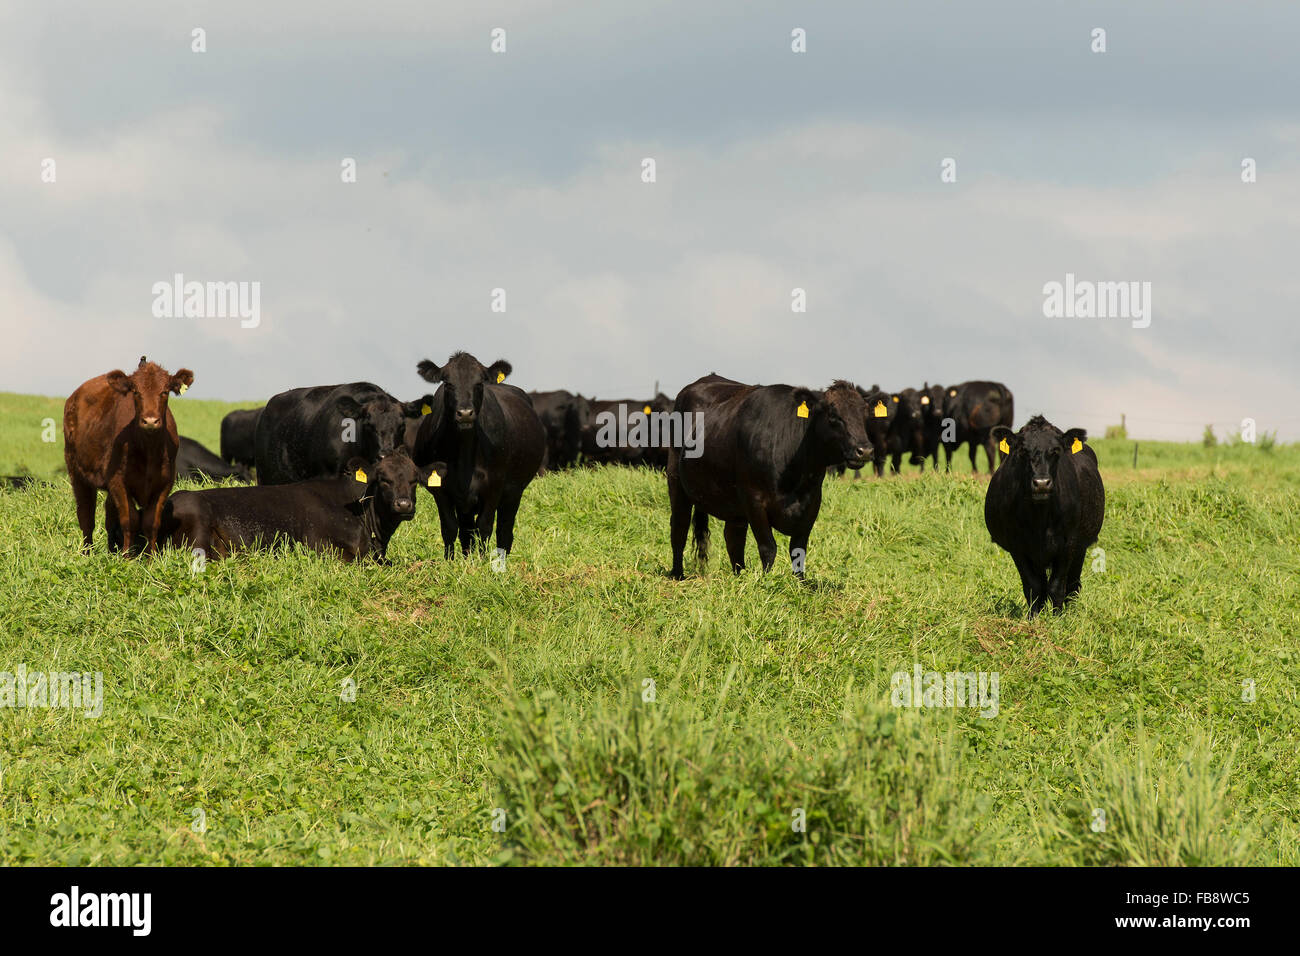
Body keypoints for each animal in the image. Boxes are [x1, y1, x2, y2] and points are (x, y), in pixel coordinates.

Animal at [63, 356, 194, 554]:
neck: (149, 451)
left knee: (109, 515)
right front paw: (127, 556)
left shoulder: (165, 482)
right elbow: (129, 520)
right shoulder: (118, 481)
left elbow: (151, 522)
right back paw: (87, 553)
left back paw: (111, 550)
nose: (150, 420)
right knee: (86, 515)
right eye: (136, 392)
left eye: (164, 392)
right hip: (77, 473)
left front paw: (151, 557)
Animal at [410, 352, 546, 559]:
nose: (465, 413)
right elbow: (450, 528)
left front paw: (482, 561)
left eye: (479, 383)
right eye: (448, 383)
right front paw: (450, 562)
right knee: (467, 531)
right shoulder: (441, 489)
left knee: (504, 529)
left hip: (514, 492)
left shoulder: (494, 485)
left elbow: (485, 526)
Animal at [667, 374, 872, 580]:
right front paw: (766, 582)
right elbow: (768, 547)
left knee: (733, 538)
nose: (865, 450)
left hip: (733, 504)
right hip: (676, 482)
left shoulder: (812, 502)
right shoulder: (754, 499)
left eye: (865, 415)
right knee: (679, 528)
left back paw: (739, 575)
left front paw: (800, 582)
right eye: (833, 416)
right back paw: (677, 574)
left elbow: (798, 549)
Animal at [984, 415, 1104, 617]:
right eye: (1023, 451)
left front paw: (1058, 618)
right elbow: (1033, 587)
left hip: (1080, 548)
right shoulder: (1017, 547)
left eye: (1055, 451)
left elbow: (1057, 587)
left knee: (1073, 585)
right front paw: (1033, 618)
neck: (1039, 519)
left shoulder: (1068, 544)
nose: (1041, 483)